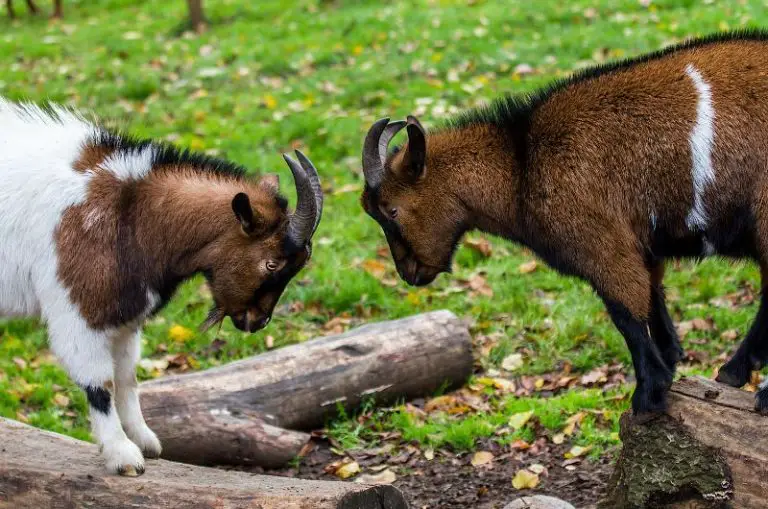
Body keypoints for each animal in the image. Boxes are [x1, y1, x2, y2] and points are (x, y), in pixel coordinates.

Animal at [0, 98, 323, 474]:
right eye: (272, 263)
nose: (257, 322)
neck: (128, 209)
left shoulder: (124, 318)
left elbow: (127, 377)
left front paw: (145, 441)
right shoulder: (80, 310)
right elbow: (101, 383)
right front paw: (123, 456)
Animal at [360, 31, 768, 418]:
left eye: (391, 210)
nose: (409, 273)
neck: (522, 165)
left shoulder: (601, 244)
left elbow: (627, 317)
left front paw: (648, 395)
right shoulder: (641, 246)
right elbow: (654, 300)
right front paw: (670, 362)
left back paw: (745, 380)